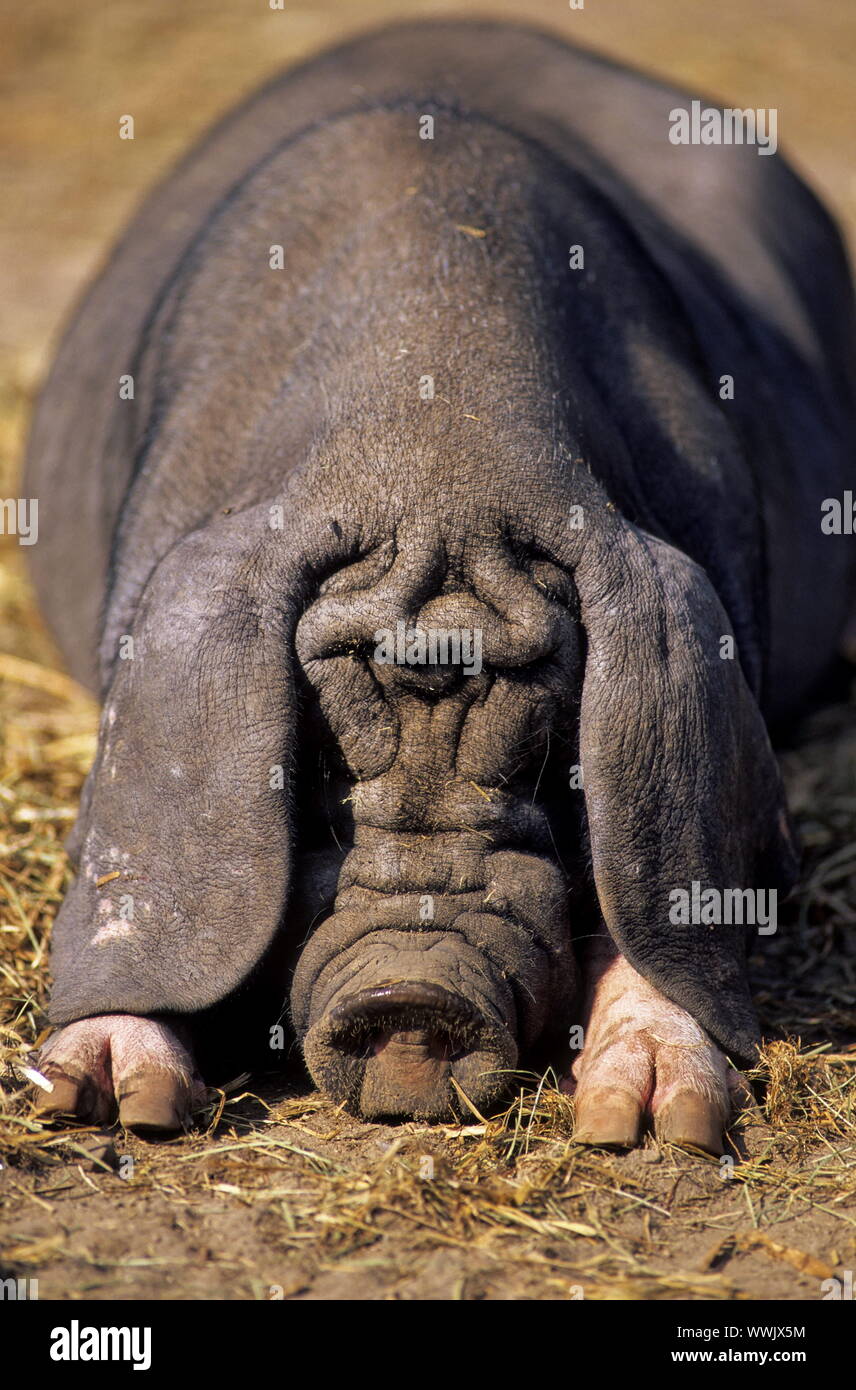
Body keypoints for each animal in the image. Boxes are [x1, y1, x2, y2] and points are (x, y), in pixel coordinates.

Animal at [25, 20, 856, 1152]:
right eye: (319, 770)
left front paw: (649, 1121)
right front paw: (101, 1097)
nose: (412, 999)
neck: (433, 443)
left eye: (551, 765)